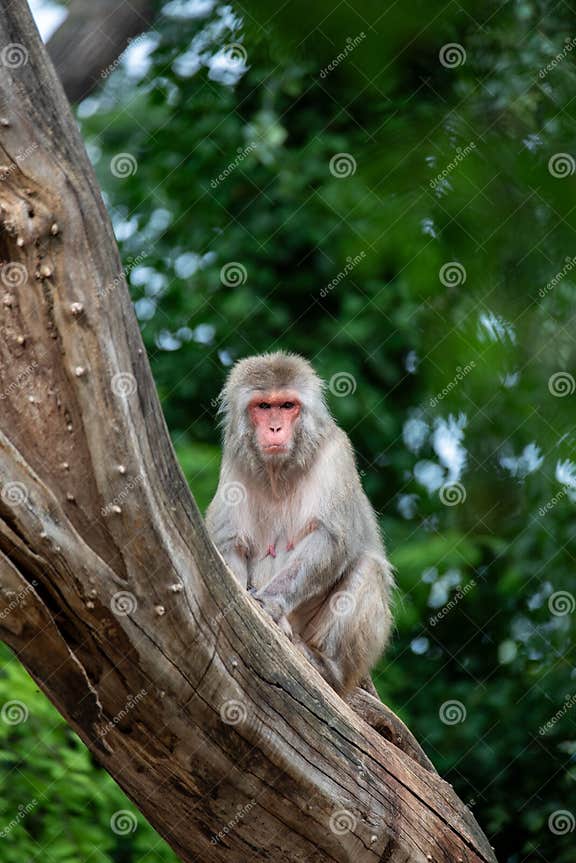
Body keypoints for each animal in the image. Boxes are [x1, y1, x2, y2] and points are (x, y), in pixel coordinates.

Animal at [205, 351, 393, 696]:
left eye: (287, 405)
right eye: (264, 406)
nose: (275, 427)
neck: (280, 471)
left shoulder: (336, 451)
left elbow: (331, 538)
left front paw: (269, 601)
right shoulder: (234, 462)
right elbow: (230, 544)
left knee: (368, 567)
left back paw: (327, 667)